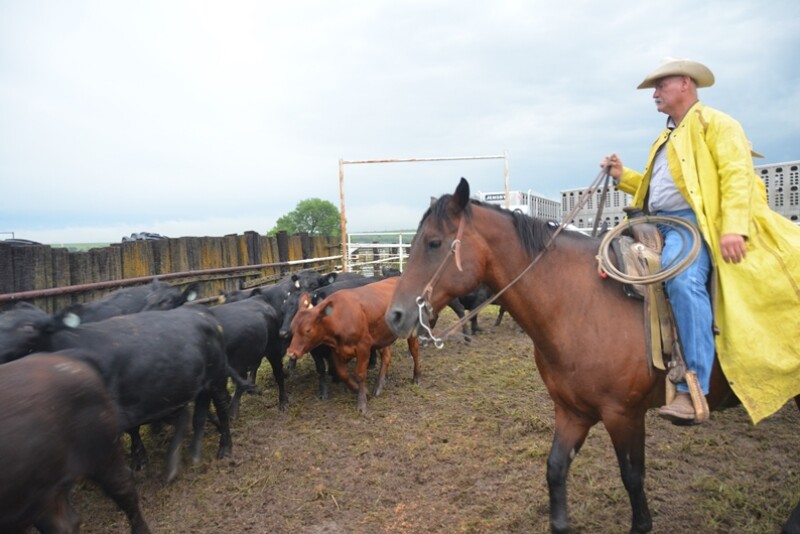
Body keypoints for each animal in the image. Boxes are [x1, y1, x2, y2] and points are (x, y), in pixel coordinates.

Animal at [286, 277, 420, 414]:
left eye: (308, 330)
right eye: (293, 328)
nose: (291, 352)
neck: (339, 318)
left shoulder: (363, 347)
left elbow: (359, 374)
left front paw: (361, 402)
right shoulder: (336, 351)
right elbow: (342, 373)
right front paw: (361, 390)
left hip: (412, 329)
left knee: (414, 350)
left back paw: (416, 377)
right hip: (382, 334)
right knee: (386, 355)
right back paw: (379, 385)